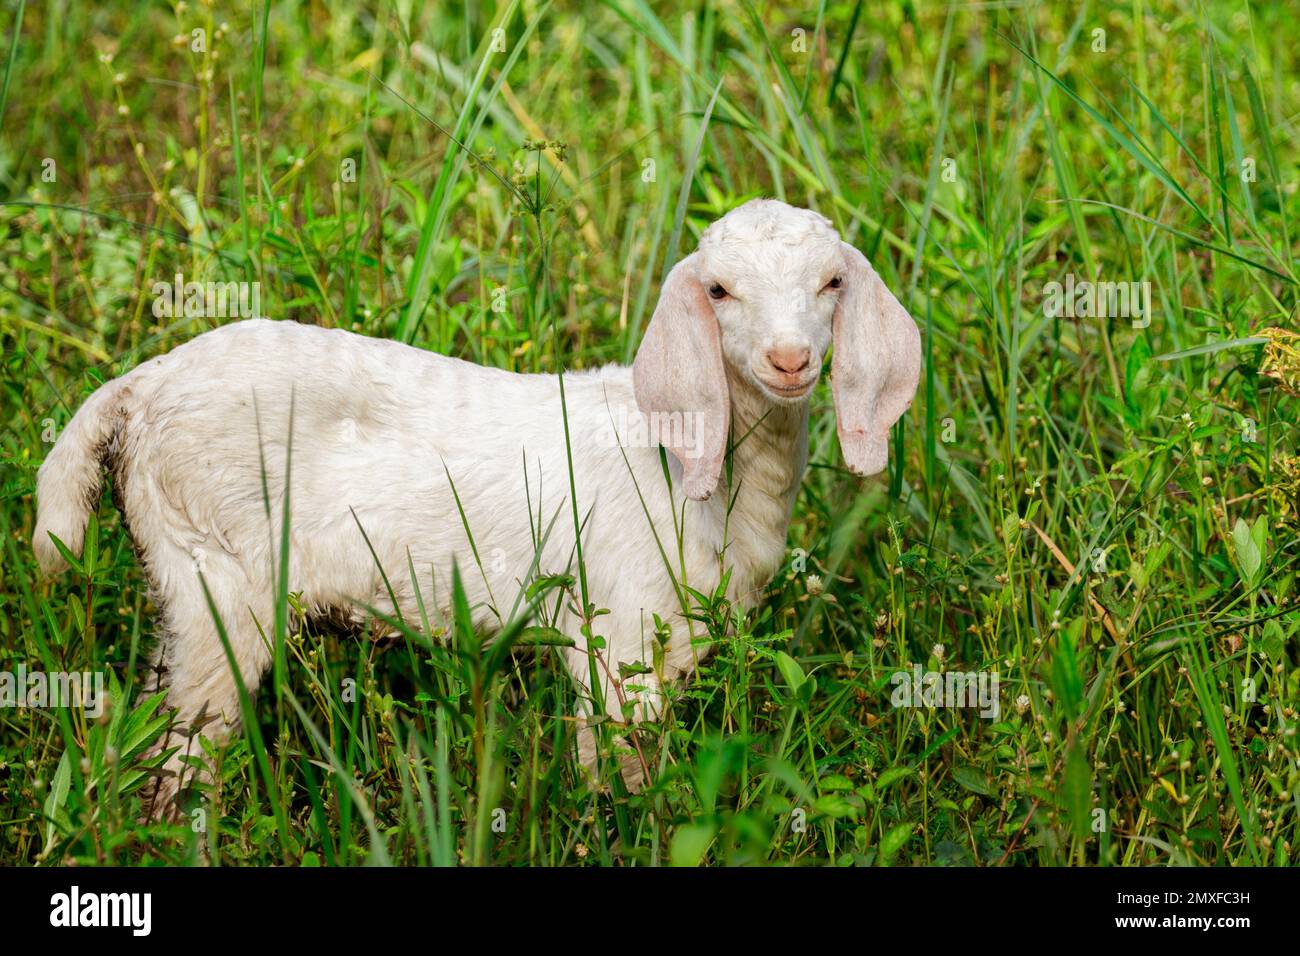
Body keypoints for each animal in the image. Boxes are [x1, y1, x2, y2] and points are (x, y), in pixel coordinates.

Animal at [33, 198, 920, 814]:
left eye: (832, 282)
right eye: (720, 291)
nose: (790, 359)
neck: (692, 473)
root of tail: (133, 392)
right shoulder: (618, 633)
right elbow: (622, 774)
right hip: (215, 567)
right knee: (178, 755)